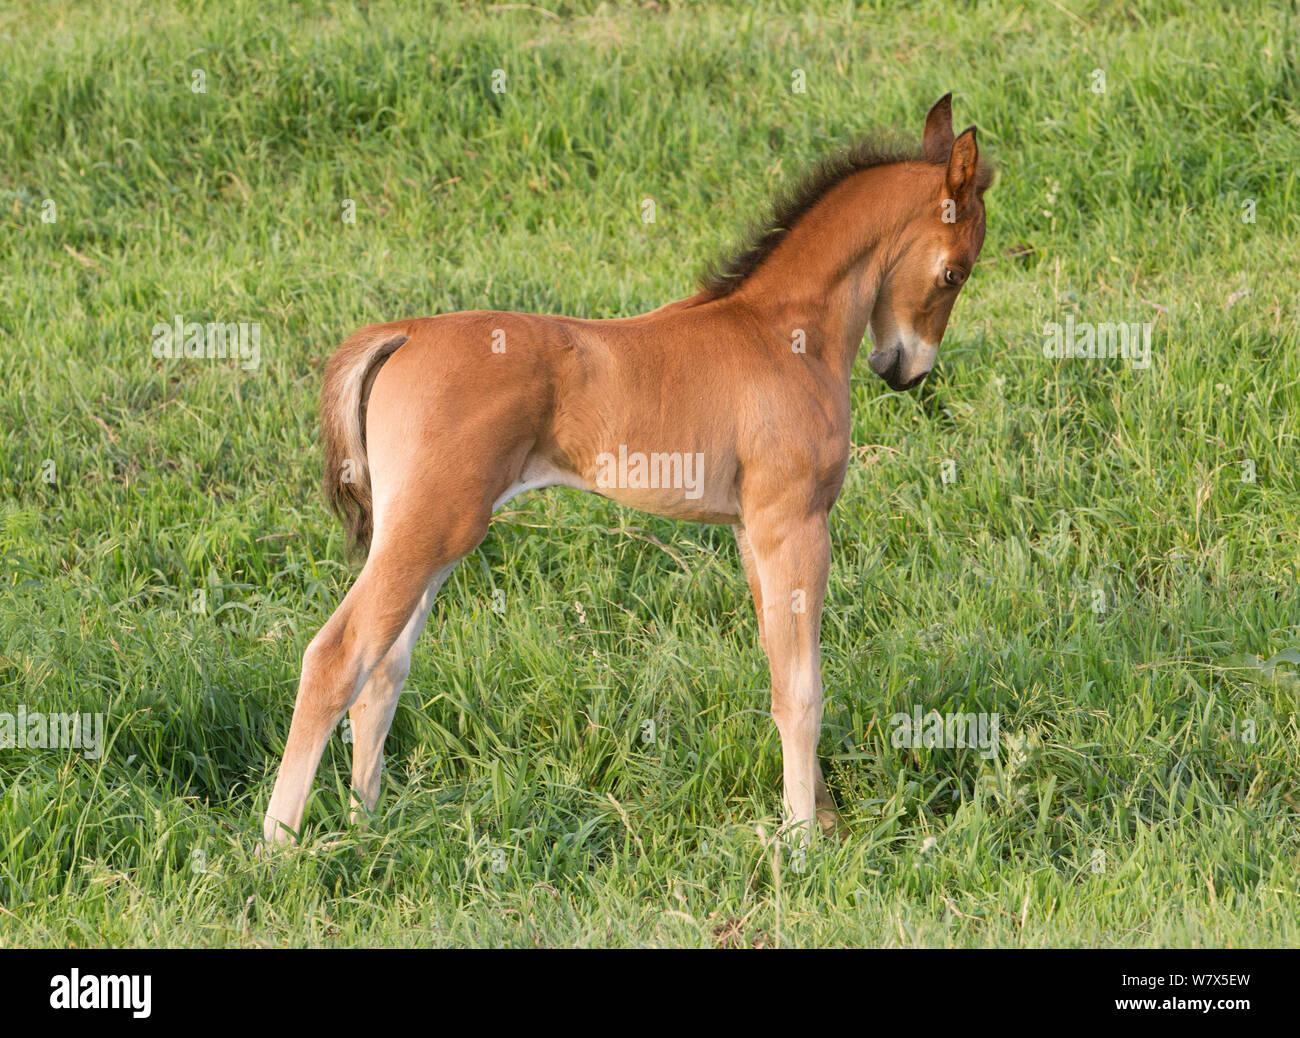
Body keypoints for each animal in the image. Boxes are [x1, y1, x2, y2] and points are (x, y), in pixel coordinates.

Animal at [263, 93, 993, 847]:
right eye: (956, 272)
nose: (906, 370)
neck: (781, 331)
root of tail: (406, 331)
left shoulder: (751, 531)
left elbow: (776, 664)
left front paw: (820, 817)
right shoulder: (794, 522)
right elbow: (801, 687)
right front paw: (800, 838)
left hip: (428, 534)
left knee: (383, 670)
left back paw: (368, 825)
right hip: (433, 527)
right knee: (336, 656)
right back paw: (280, 846)